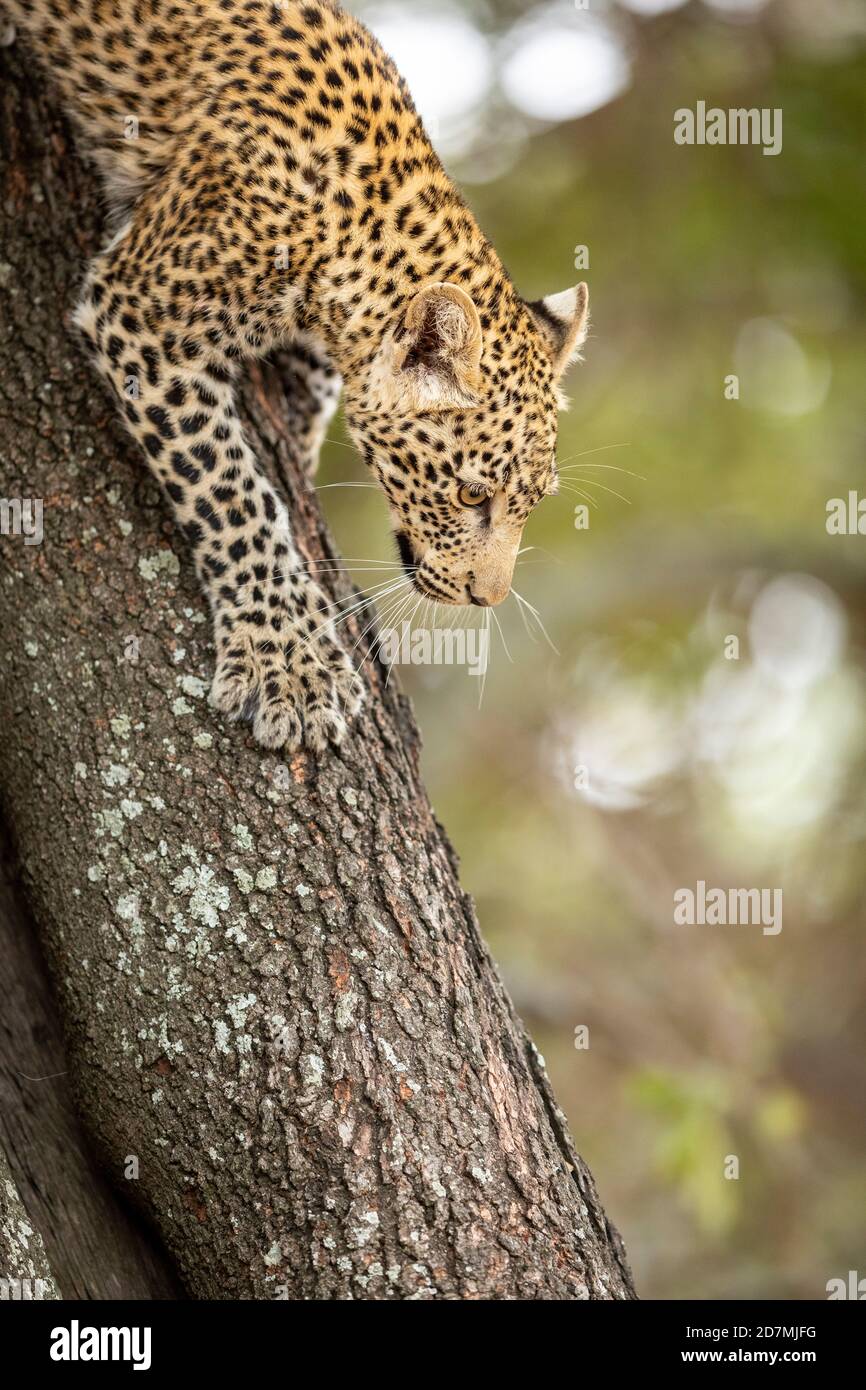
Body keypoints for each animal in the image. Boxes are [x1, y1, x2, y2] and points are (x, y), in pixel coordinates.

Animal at [3, 0, 590, 752]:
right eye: (469, 496)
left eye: (533, 502)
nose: (489, 597)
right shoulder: (136, 310)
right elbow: (231, 492)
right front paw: (289, 659)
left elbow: (315, 394)